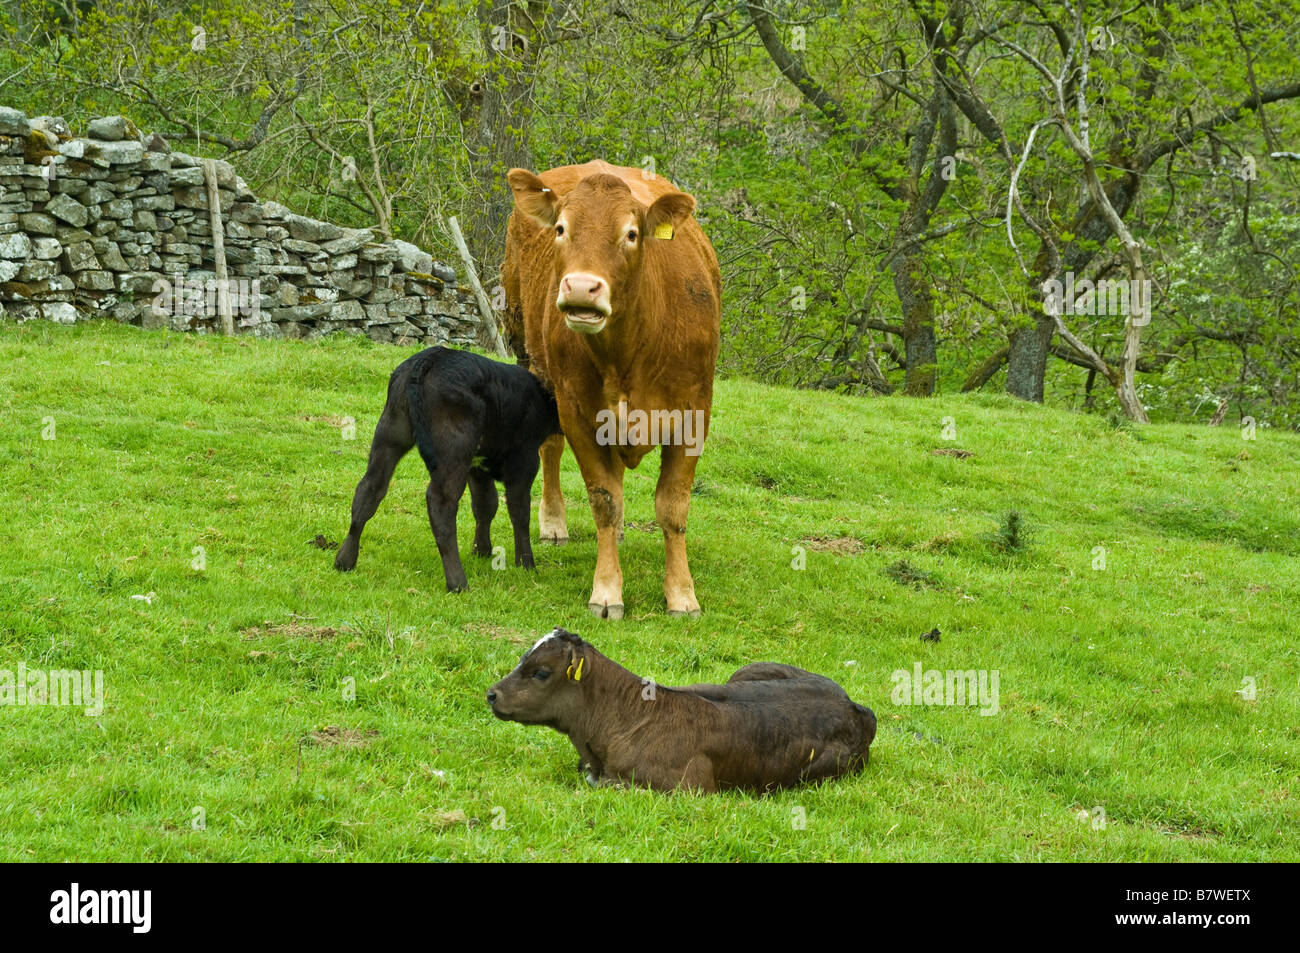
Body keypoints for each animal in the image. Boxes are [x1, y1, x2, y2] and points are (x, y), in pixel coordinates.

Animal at [334, 346, 561, 592]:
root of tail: (431, 356)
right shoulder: (524, 461)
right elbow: (519, 512)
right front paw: (526, 564)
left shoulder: (478, 465)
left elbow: (485, 505)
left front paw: (481, 551)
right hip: (454, 448)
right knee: (441, 502)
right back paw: (458, 582)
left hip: (391, 431)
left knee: (369, 488)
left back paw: (344, 560)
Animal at [503, 160, 721, 619]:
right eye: (561, 228)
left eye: (631, 233)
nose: (581, 288)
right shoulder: (579, 414)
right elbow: (604, 499)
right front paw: (606, 591)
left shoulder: (694, 415)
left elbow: (673, 507)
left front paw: (682, 594)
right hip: (530, 356)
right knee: (550, 446)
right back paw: (553, 521)